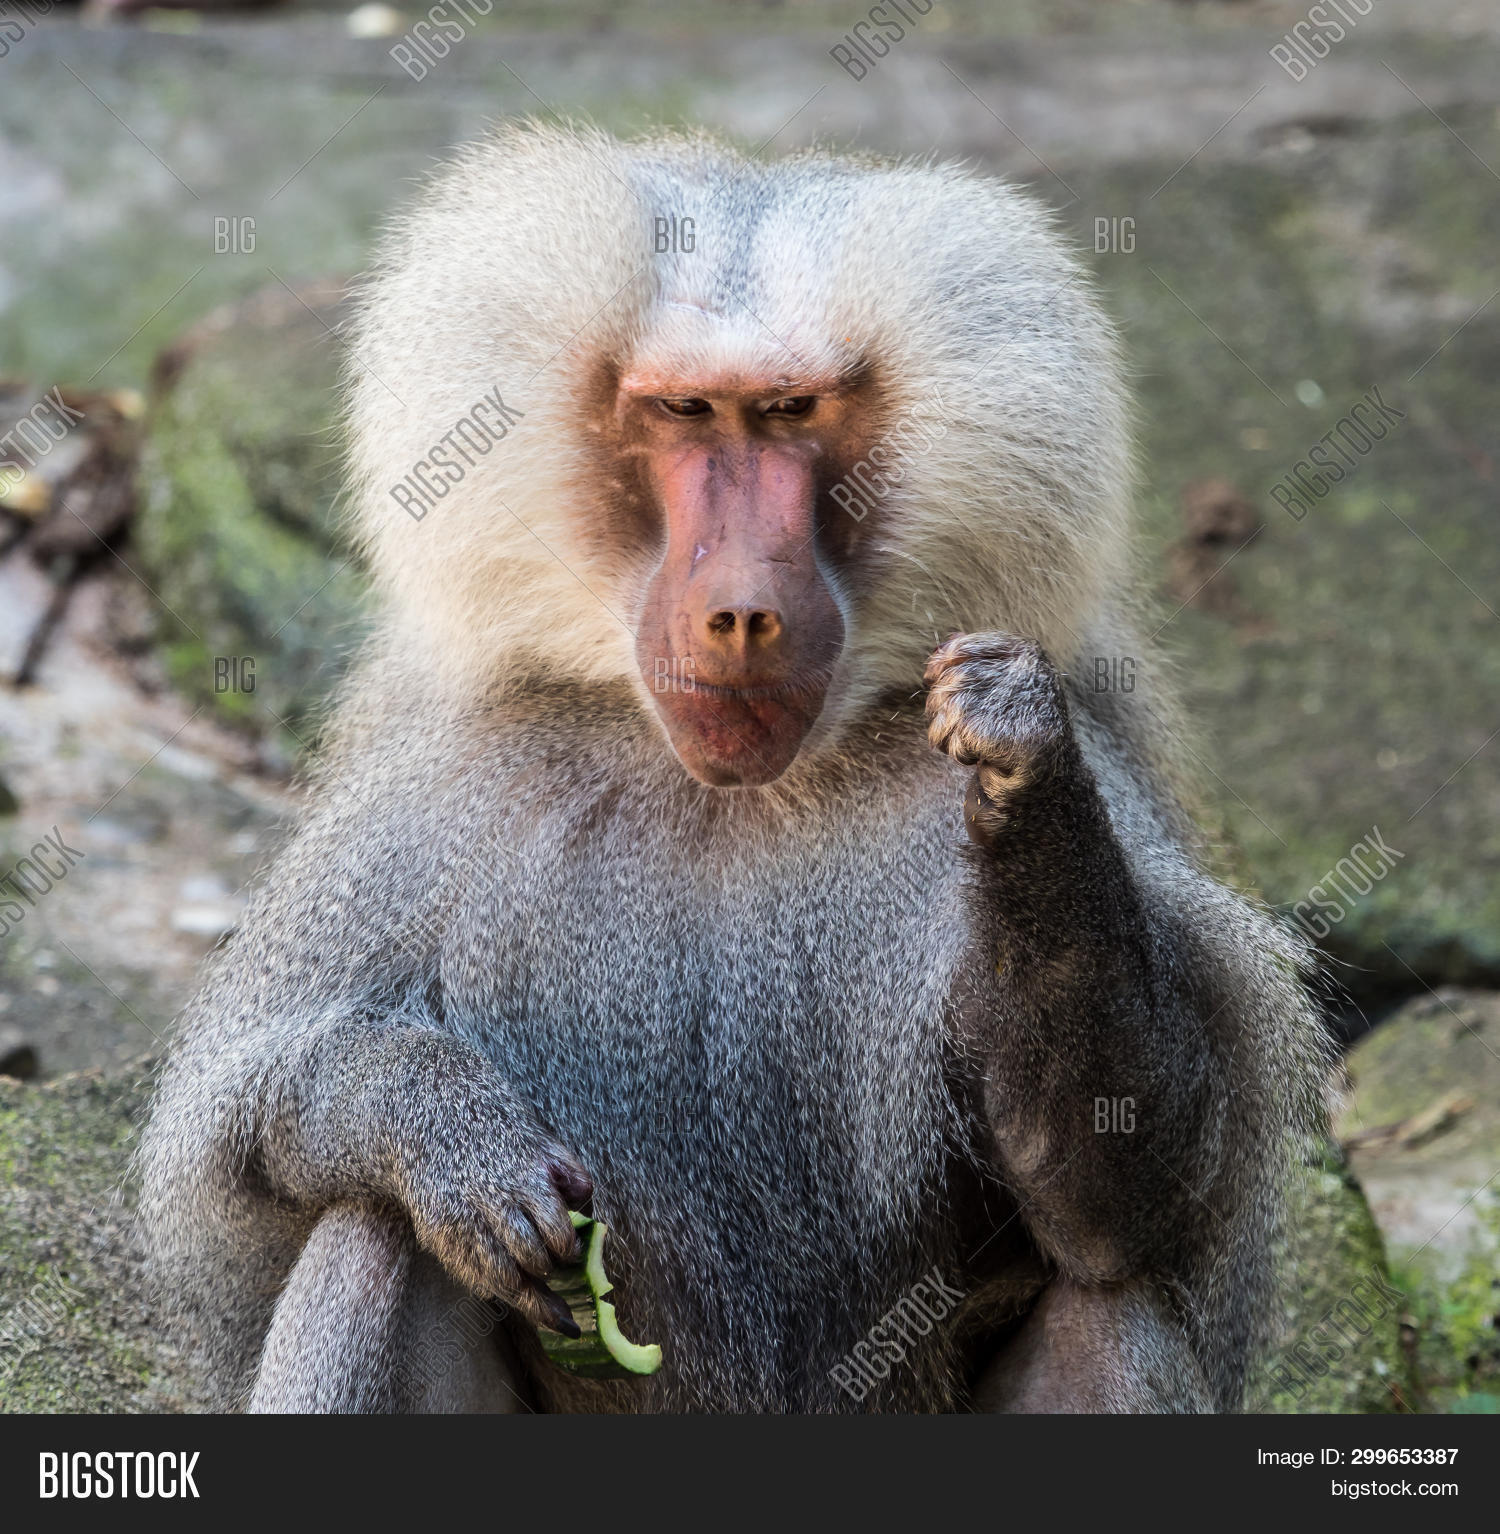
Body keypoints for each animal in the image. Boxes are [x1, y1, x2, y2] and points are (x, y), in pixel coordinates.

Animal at [139, 122, 1330, 1414]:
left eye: (790, 411)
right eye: (683, 411)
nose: (742, 611)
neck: (734, 794)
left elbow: (1129, 1200)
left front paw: (1024, 768)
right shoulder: (442, 791)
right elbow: (233, 1183)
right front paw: (444, 1134)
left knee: (1109, 1314)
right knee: (376, 1238)